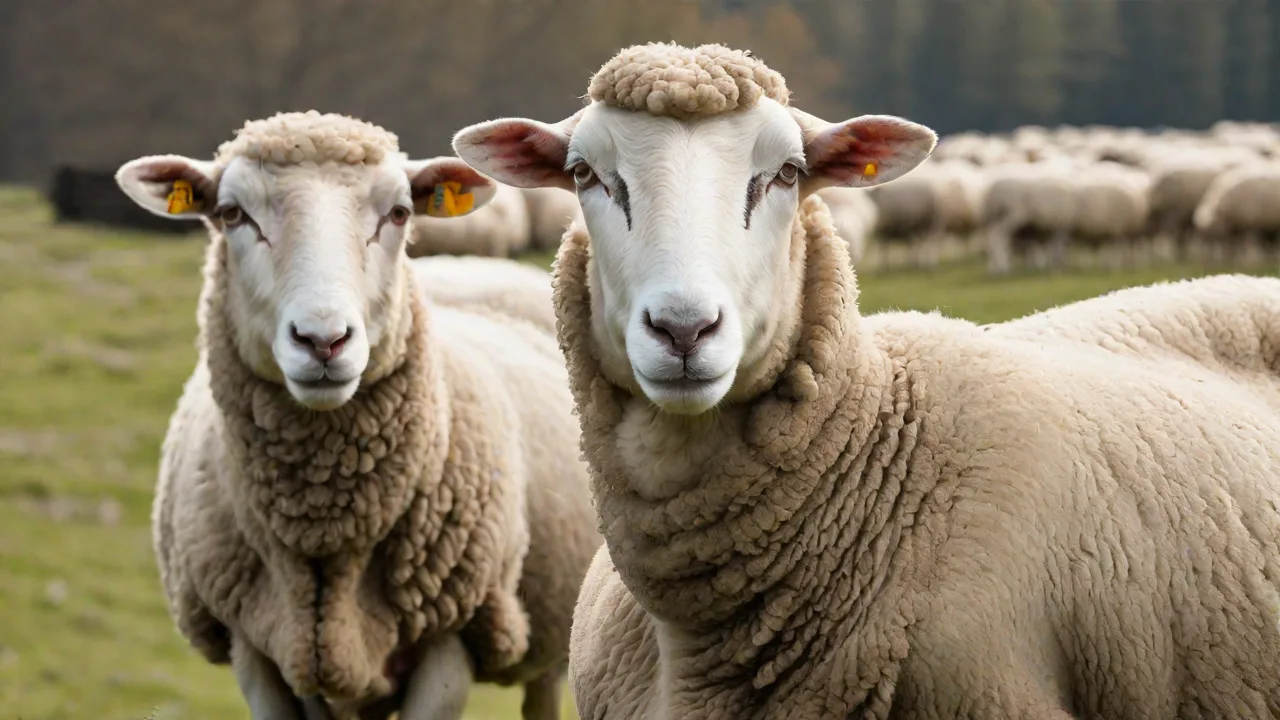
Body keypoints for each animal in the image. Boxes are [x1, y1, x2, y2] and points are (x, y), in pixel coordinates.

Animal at [113, 110, 600, 720]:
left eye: (399, 213)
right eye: (232, 214)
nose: (324, 340)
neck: (325, 523)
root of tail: (472, 264)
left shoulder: (449, 642)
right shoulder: (256, 649)